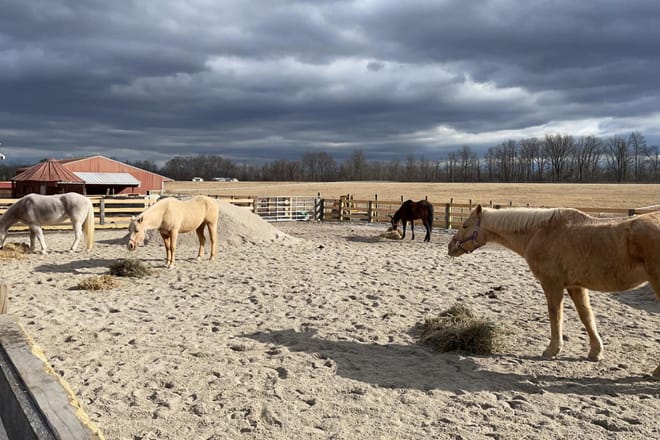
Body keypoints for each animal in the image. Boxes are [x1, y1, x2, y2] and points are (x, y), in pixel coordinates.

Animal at [448, 204, 660, 378]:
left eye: (465, 225)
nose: (450, 246)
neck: (539, 232)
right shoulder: (575, 286)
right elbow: (586, 316)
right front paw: (595, 352)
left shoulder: (552, 284)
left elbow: (555, 315)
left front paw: (552, 350)